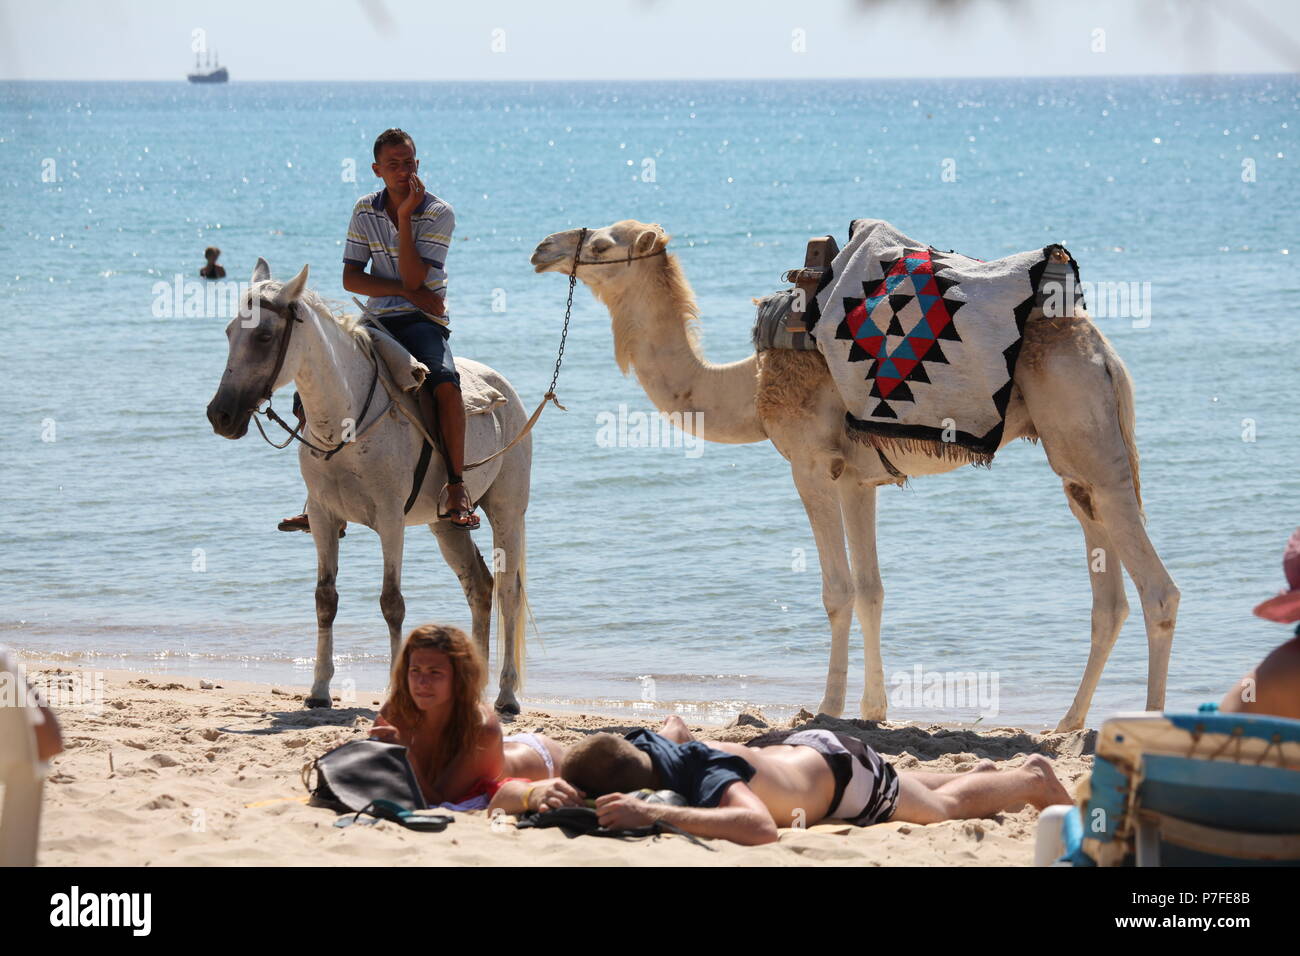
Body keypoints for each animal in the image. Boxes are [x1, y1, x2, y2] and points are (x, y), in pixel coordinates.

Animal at [205, 258, 531, 713]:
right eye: (229, 332)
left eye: (265, 335)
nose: (220, 415)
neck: (345, 420)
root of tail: (505, 389)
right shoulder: (322, 518)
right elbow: (325, 598)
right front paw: (319, 689)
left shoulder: (391, 520)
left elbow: (392, 603)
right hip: (446, 524)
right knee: (479, 586)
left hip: (507, 512)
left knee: (508, 593)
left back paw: (506, 695)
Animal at [531, 220, 1179, 732]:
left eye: (603, 243)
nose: (542, 247)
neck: (749, 388)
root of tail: (1103, 354)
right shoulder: (856, 480)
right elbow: (872, 590)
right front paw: (874, 709)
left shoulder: (811, 466)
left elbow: (837, 591)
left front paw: (829, 705)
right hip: (1077, 464)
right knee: (1108, 595)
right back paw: (1068, 722)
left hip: (1086, 434)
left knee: (1158, 590)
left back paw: (1144, 724)